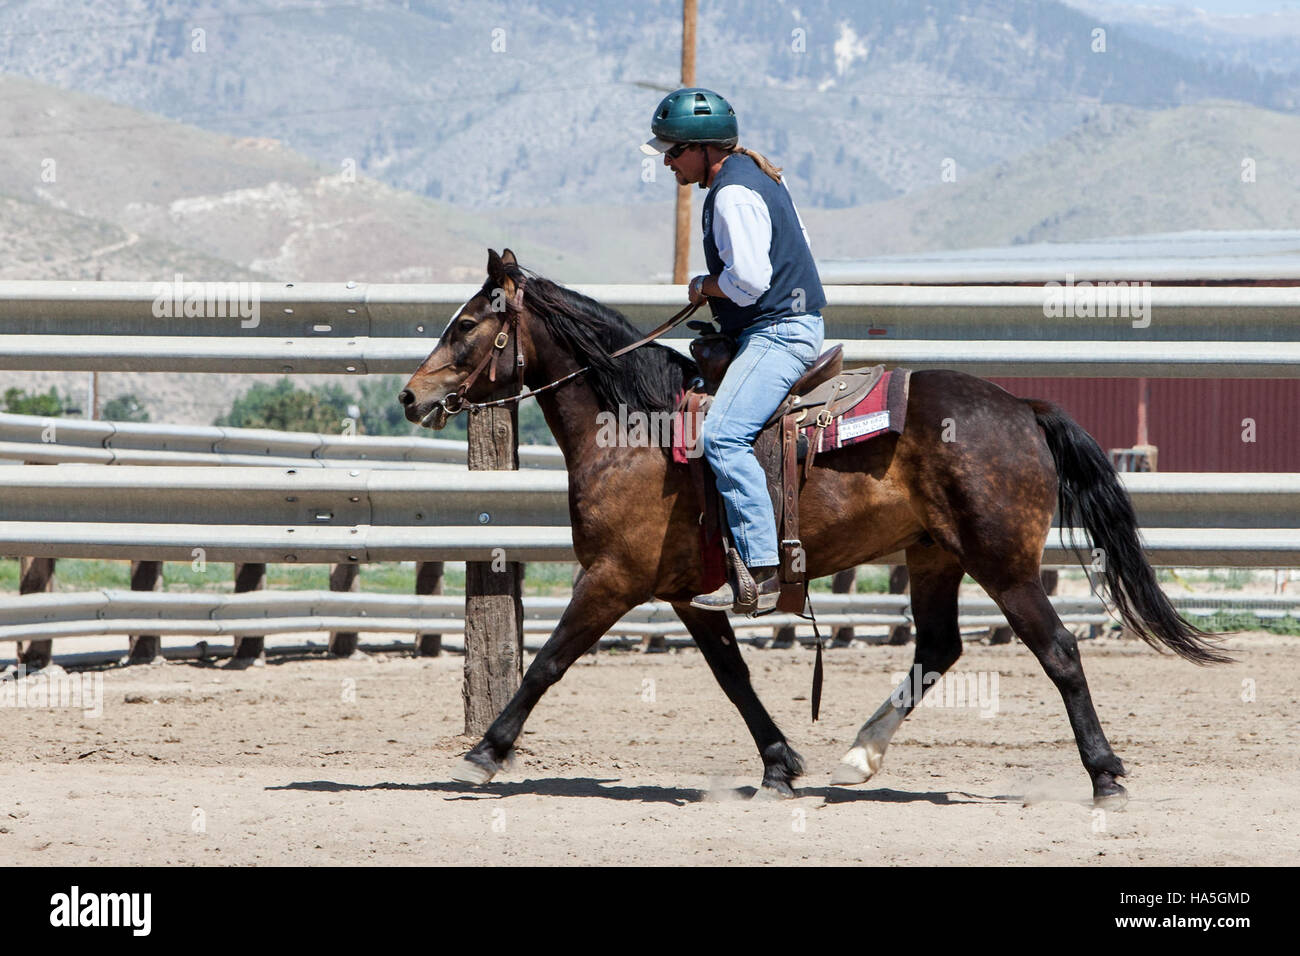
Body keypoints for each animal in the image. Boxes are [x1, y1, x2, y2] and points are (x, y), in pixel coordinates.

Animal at [399, 248, 1228, 806]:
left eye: (466, 324)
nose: (410, 396)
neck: (634, 426)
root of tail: (1023, 408)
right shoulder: (686, 593)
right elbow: (732, 676)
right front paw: (779, 764)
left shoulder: (612, 578)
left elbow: (549, 662)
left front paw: (486, 750)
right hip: (935, 558)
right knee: (939, 649)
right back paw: (858, 758)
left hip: (1005, 565)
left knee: (1057, 651)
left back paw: (1106, 775)